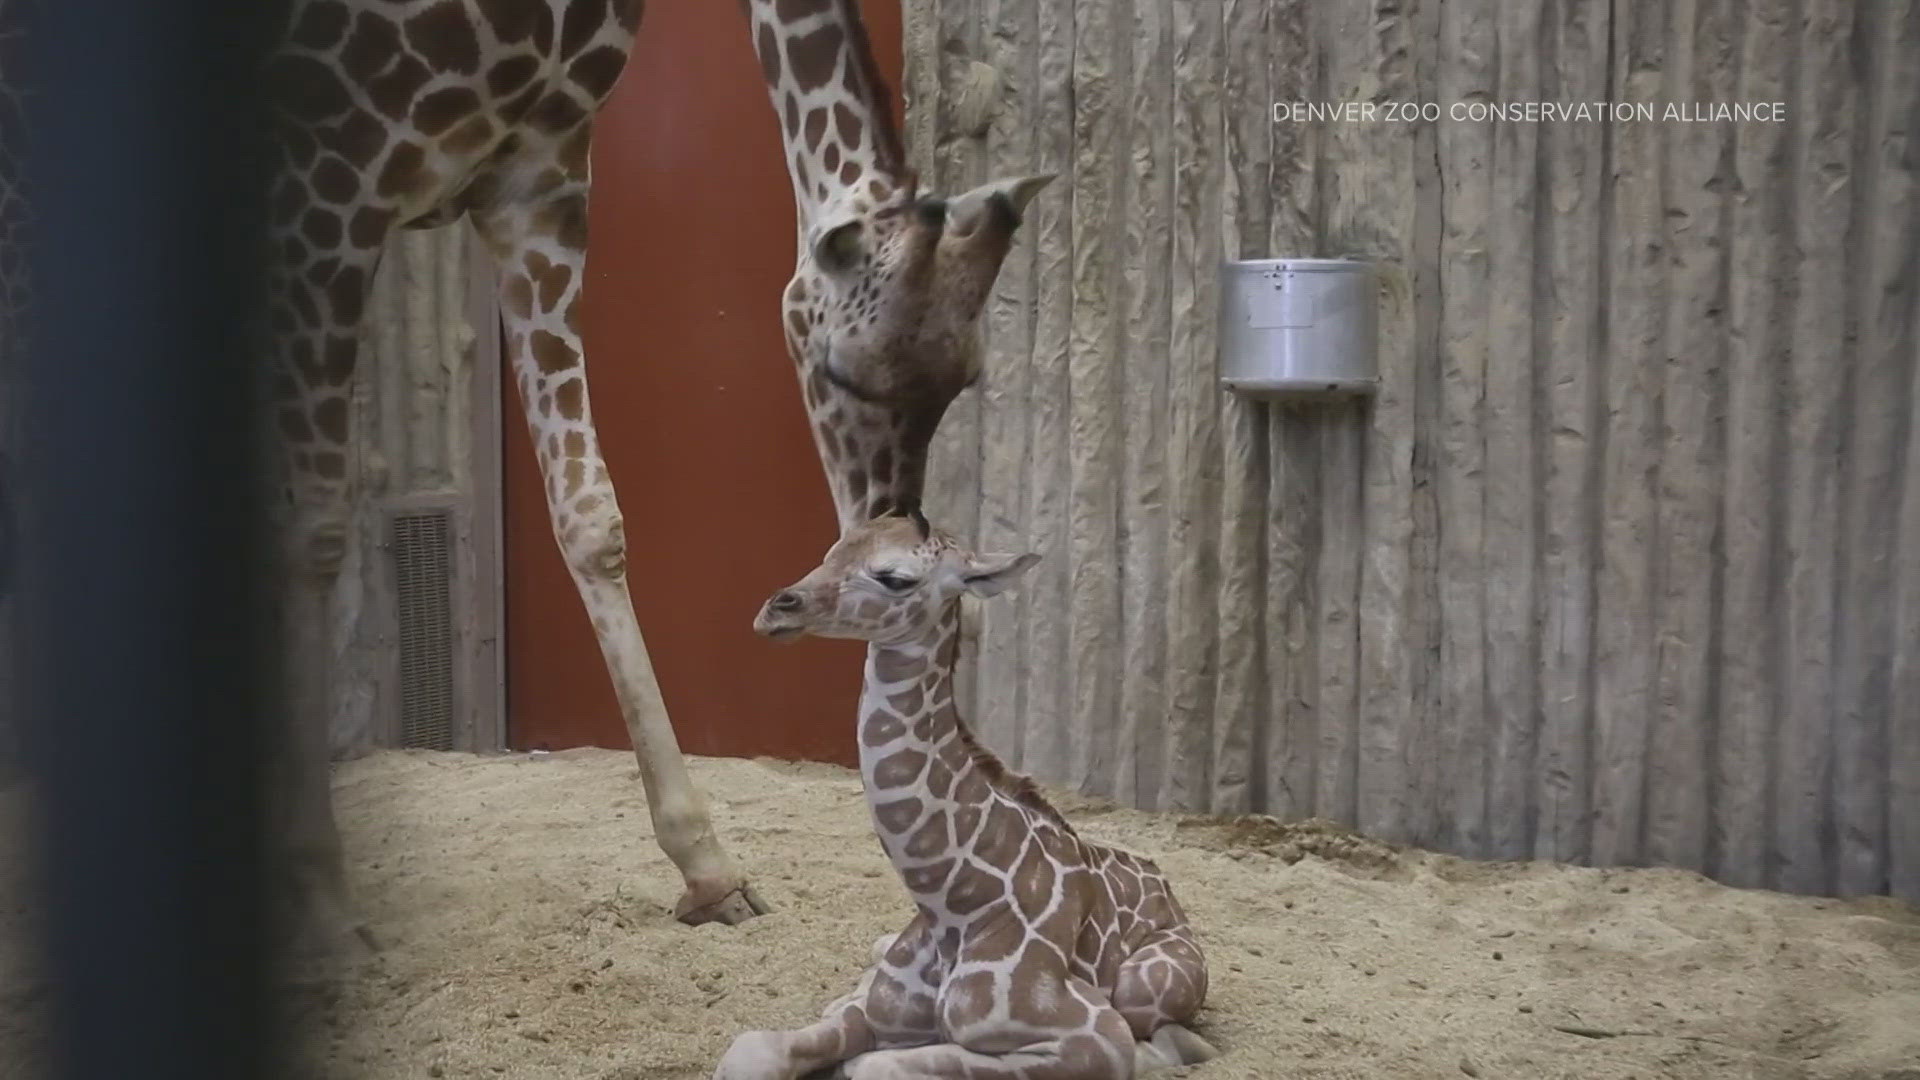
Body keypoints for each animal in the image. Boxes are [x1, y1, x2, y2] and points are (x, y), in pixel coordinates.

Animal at [261, 0, 1052, 945]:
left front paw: (708, 870)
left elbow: (590, 516)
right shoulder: (330, 177)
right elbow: (314, 531)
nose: (896, 529)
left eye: (965, 378)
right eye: (844, 369)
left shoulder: (538, 181)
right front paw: (319, 895)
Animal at [716, 510, 1218, 1080]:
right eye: (831, 552)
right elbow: (754, 1048)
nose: (777, 609)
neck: (952, 905)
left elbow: (874, 1065)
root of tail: (1165, 885)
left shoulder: (1093, 1036)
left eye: (895, 577)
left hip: (1144, 982)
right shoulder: (881, 1010)